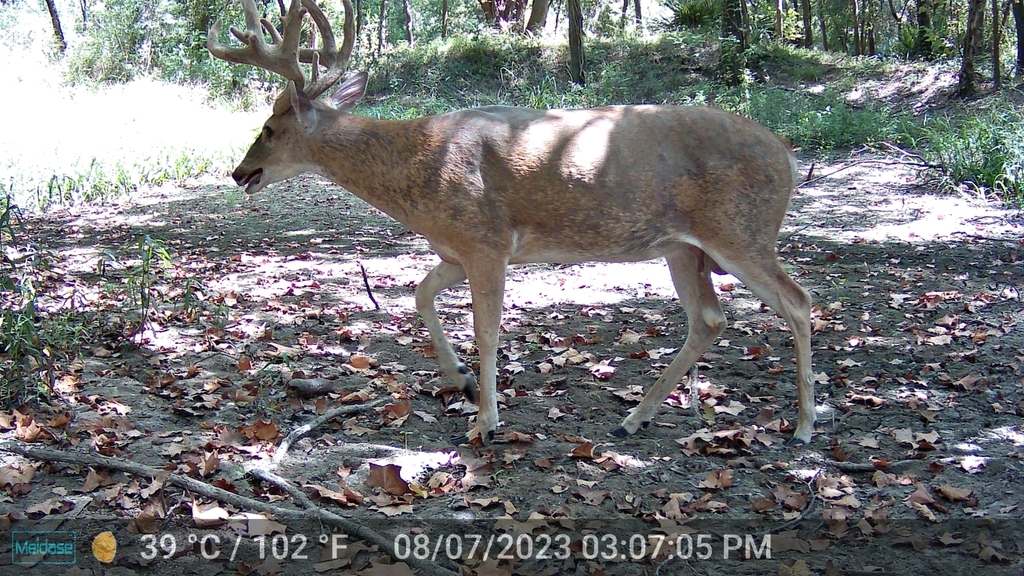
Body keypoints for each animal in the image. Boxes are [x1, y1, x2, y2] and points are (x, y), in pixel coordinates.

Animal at [207, 0, 817, 446]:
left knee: (797, 300)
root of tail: (788, 156)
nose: (240, 172)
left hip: (740, 229)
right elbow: (419, 294)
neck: (418, 171)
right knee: (709, 319)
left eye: (269, 128)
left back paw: (805, 426)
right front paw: (460, 383)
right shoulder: (457, 248)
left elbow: (487, 328)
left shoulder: (486, 240)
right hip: (682, 247)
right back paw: (633, 418)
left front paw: (486, 421)